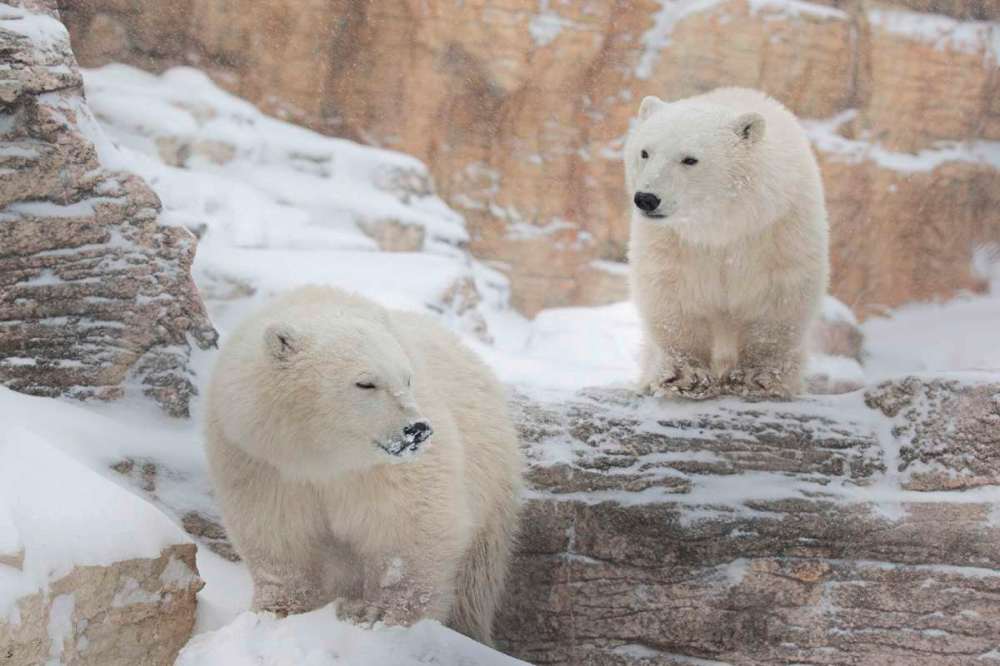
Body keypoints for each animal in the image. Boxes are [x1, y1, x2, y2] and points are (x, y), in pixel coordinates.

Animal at [203, 286, 522, 645]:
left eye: (407, 378)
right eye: (366, 383)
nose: (417, 430)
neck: (321, 456)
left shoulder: (385, 470)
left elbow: (408, 527)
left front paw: (380, 616)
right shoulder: (261, 460)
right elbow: (277, 532)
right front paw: (278, 612)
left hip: (490, 483)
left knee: (475, 581)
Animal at [625, 87, 829, 400]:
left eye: (689, 159)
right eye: (645, 152)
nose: (646, 198)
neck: (722, 225)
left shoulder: (777, 227)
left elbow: (778, 296)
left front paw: (758, 378)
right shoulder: (672, 239)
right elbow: (672, 294)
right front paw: (684, 376)